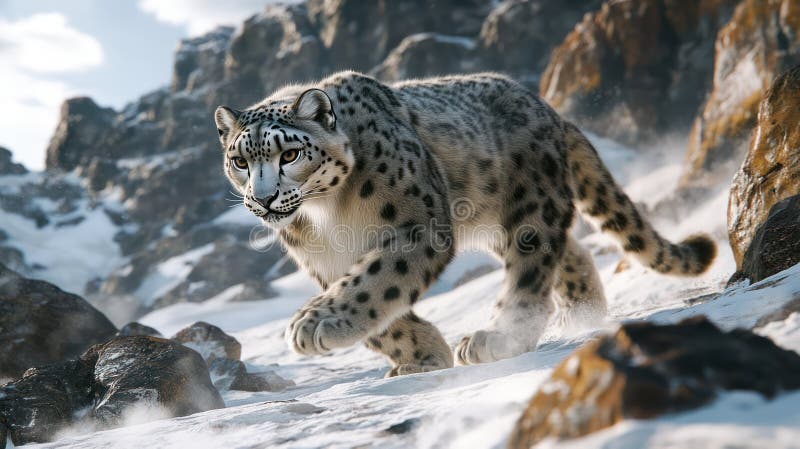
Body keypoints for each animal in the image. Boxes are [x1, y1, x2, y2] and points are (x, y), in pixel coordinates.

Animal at [214, 71, 716, 377]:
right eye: (240, 160)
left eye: (289, 154)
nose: (263, 199)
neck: (328, 215)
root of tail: (549, 110)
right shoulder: (323, 259)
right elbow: (379, 310)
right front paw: (423, 356)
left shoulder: (418, 224)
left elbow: (375, 282)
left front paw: (316, 324)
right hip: (497, 221)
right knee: (569, 253)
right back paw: (582, 313)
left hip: (528, 207)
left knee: (531, 272)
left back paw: (497, 337)